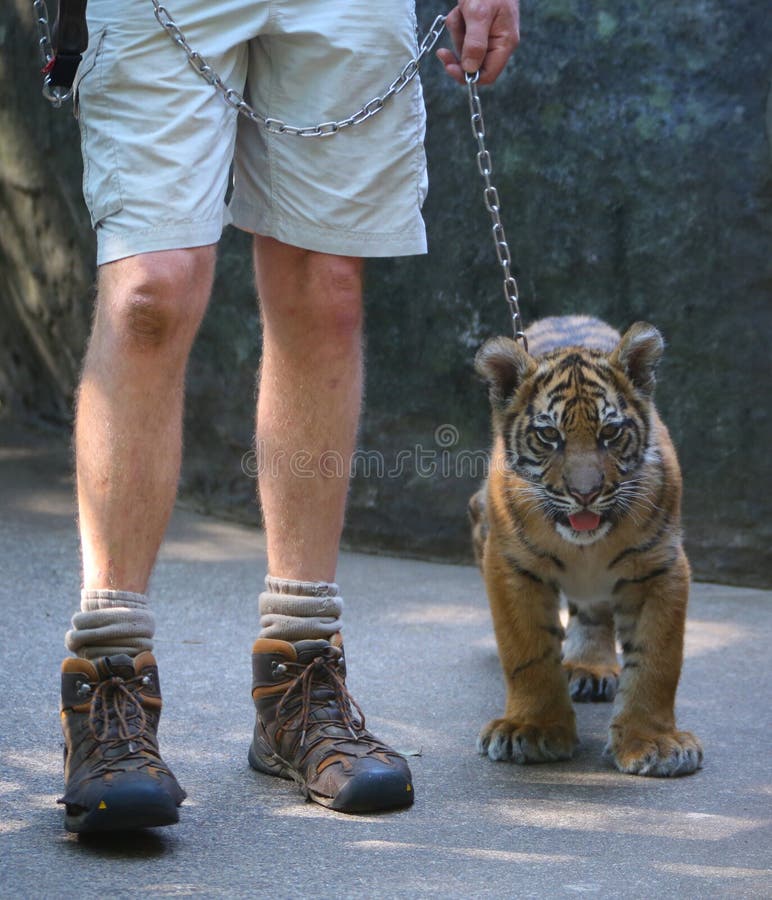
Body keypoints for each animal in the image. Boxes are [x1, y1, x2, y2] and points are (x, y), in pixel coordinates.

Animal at [469, 315, 703, 777]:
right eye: (548, 435)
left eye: (610, 432)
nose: (585, 493)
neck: (585, 546)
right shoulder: (511, 565)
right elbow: (527, 652)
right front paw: (531, 729)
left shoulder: (659, 566)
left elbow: (657, 660)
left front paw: (653, 741)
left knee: (595, 612)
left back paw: (591, 667)